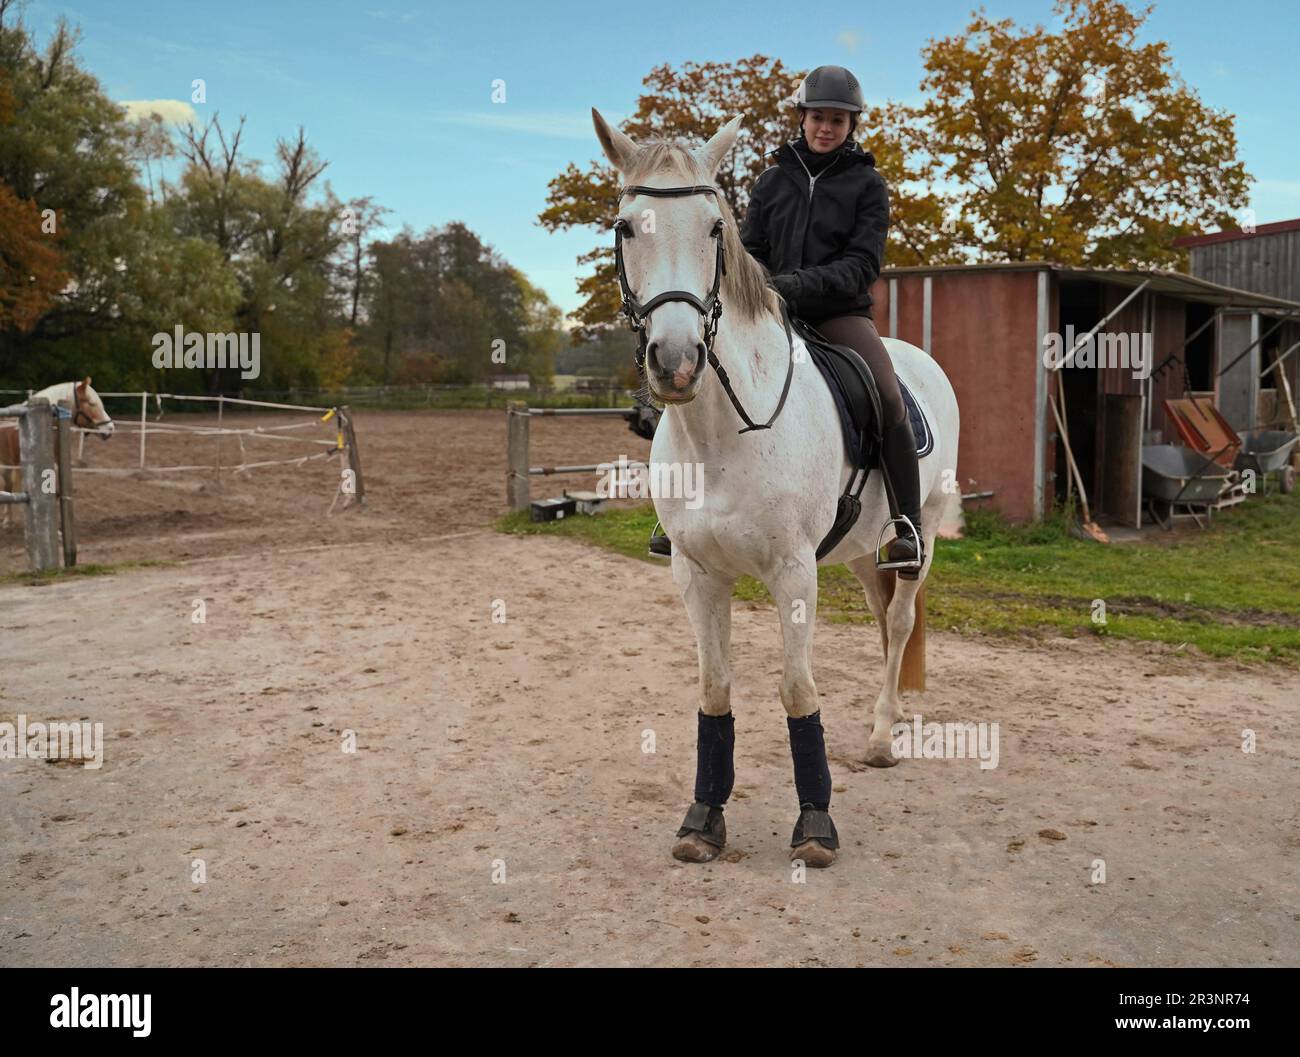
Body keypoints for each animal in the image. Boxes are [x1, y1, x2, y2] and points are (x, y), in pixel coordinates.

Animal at [592, 110, 961, 868]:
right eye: (625, 227)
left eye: (713, 227)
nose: (677, 362)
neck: (720, 433)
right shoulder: (697, 573)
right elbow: (714, 690)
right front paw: (703, 817)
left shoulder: (793, 572)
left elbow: (796, 690)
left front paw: (816, 823)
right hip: (861, 550)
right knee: (882, 618)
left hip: (922, 536)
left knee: (900, 620)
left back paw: (883, 737)